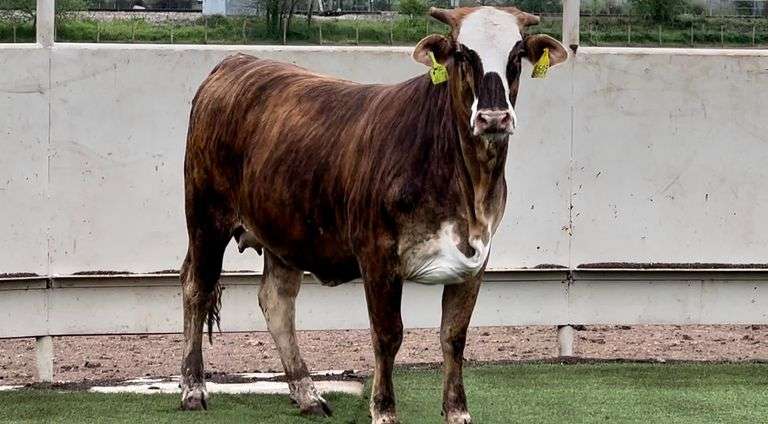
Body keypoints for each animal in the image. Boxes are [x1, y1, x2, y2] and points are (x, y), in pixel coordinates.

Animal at [180, 6, 567, 423]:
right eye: (463, 54)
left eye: (517, 55)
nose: (493, 118)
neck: (466, 184)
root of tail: (235, 62)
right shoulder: (377, 257)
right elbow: (388, 334)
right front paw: (383, 408)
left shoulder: (476, 261)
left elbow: (453, 335)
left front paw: (456, 410)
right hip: (205, 217)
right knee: (196, 287)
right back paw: (193, 388)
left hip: (285, 232)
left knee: (276, 302)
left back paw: (307, 394)